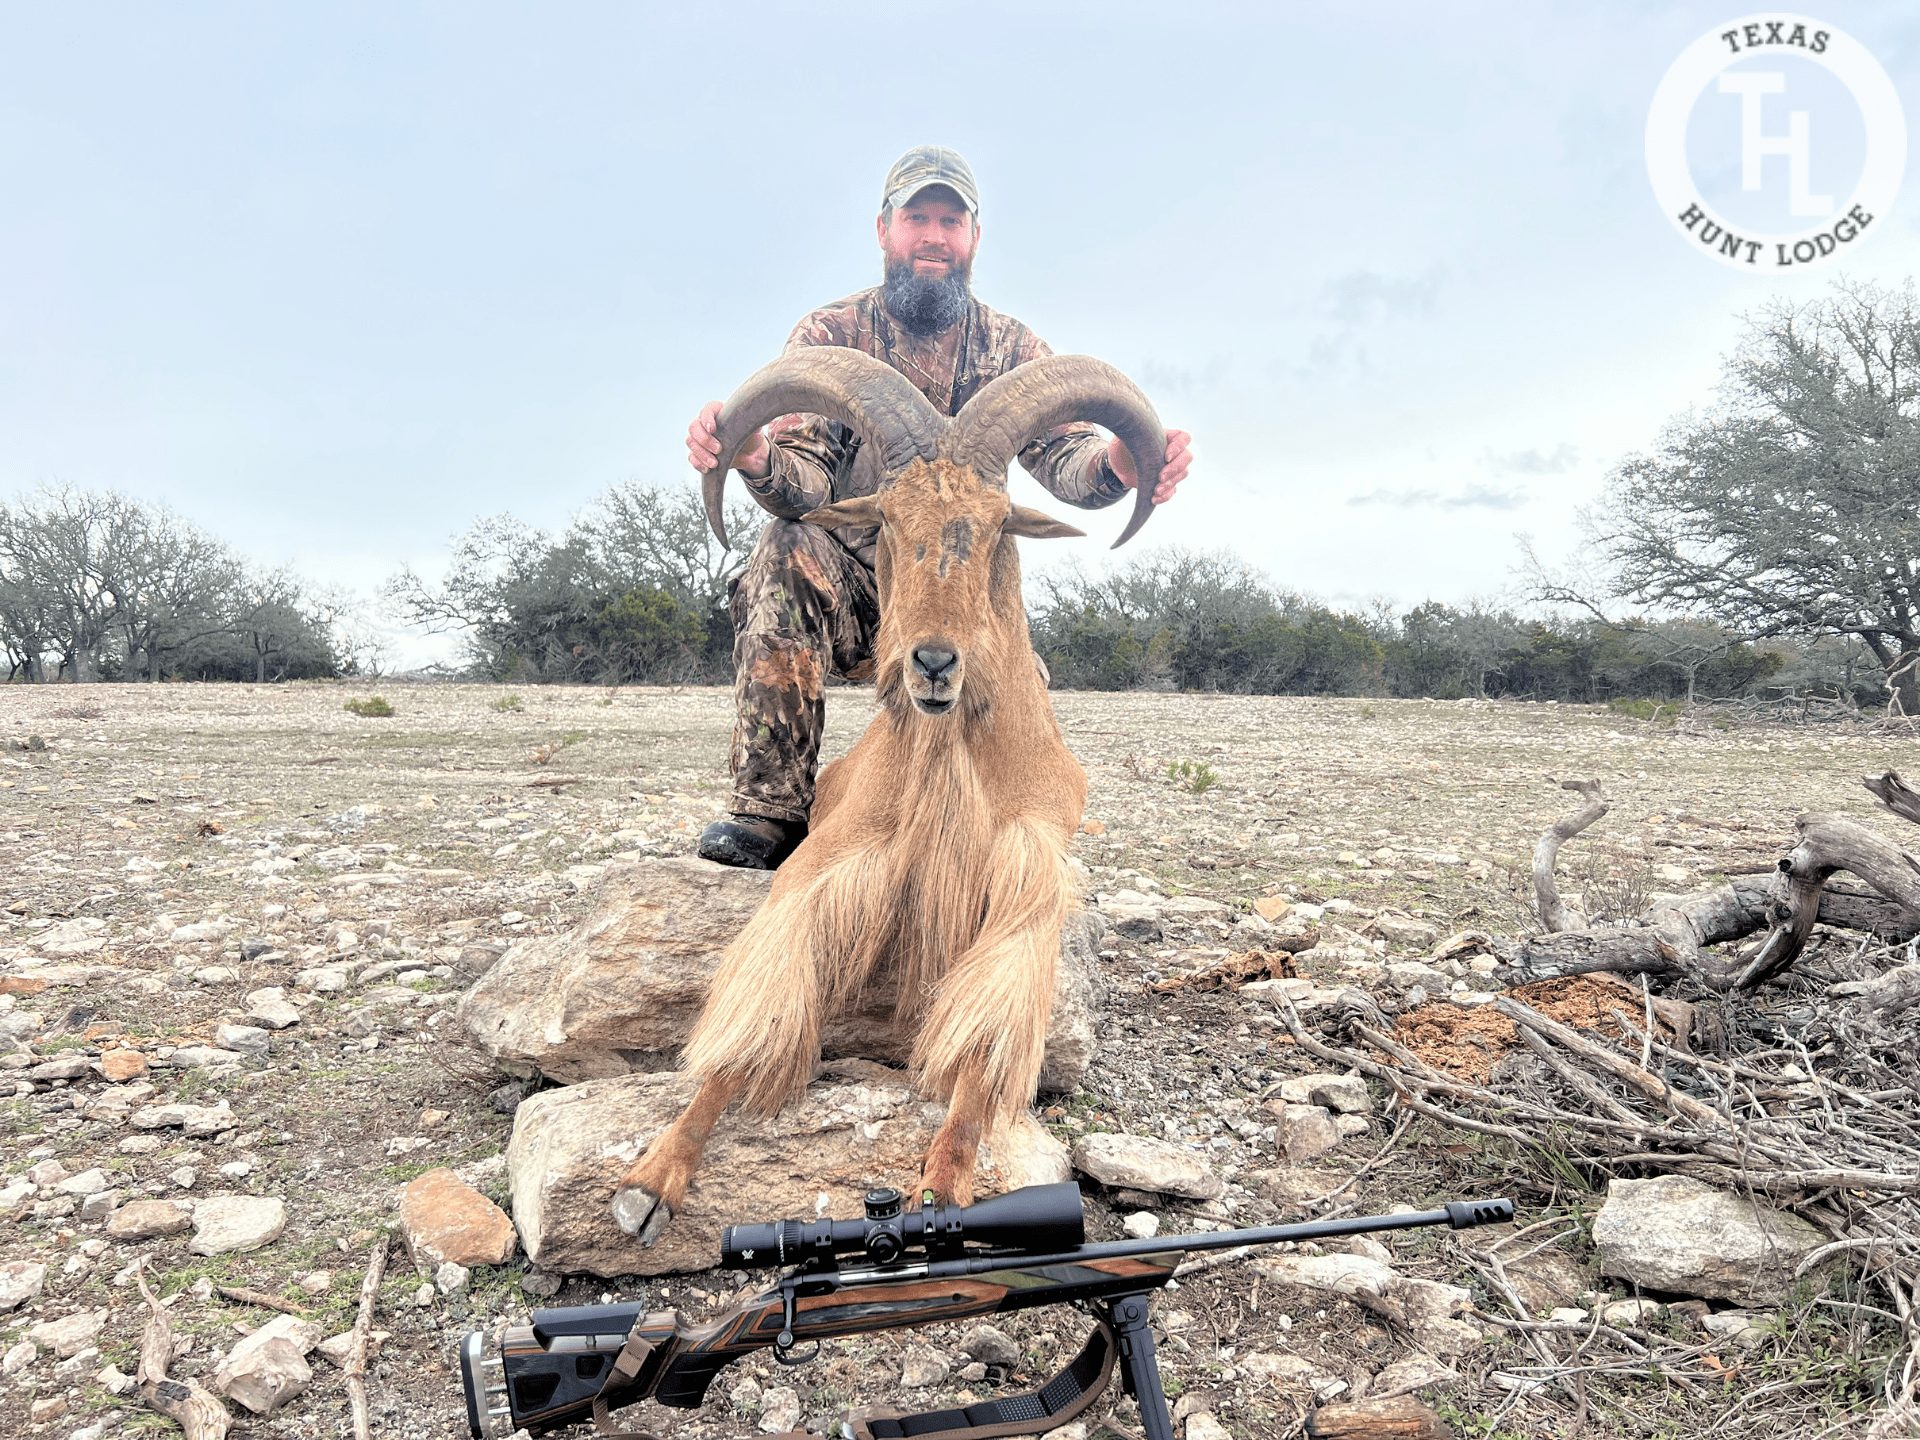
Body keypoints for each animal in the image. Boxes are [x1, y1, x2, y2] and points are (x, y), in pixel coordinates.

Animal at [611, 347, 1164, 1243]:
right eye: (891, 525)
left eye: (996, 524)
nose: (932, 663)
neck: (952, 761)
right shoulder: (825, 873)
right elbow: (754, 1020)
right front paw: (650, 1179)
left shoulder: (1026, 889)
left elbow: (979, 1052)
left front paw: (942, 1188)